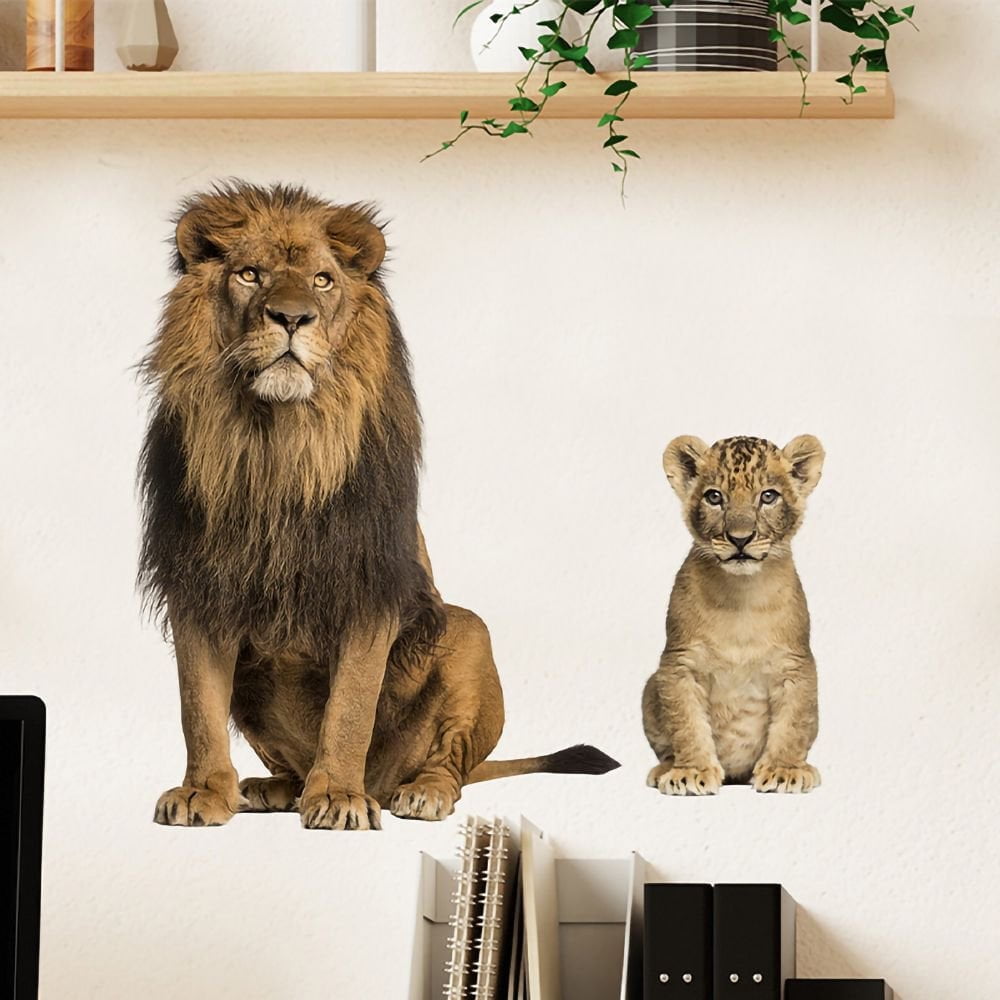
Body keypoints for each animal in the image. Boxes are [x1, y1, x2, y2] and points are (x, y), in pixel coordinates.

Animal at [139, 182, 618, 830]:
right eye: (249, 274)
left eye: (322, 281)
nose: (292, 318)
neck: (278, 444)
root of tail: (386, 781)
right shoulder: (198, 586)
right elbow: (198, 708)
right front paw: (203, 792)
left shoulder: (369, 588)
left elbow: (350, 708)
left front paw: (339, 797)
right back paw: (272, 788)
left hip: (469, 632)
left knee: (450, 763)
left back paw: (417, 792)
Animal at [642, 435, 824, 795]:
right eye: (715, 497)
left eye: (768, 496)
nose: (741, 539)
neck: (741, 596)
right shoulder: (679, 664)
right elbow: (686, 724)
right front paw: (692, 771)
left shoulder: (796, 665)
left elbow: (793, 723)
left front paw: (784, 770)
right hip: (649, 686)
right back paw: (666, 768)